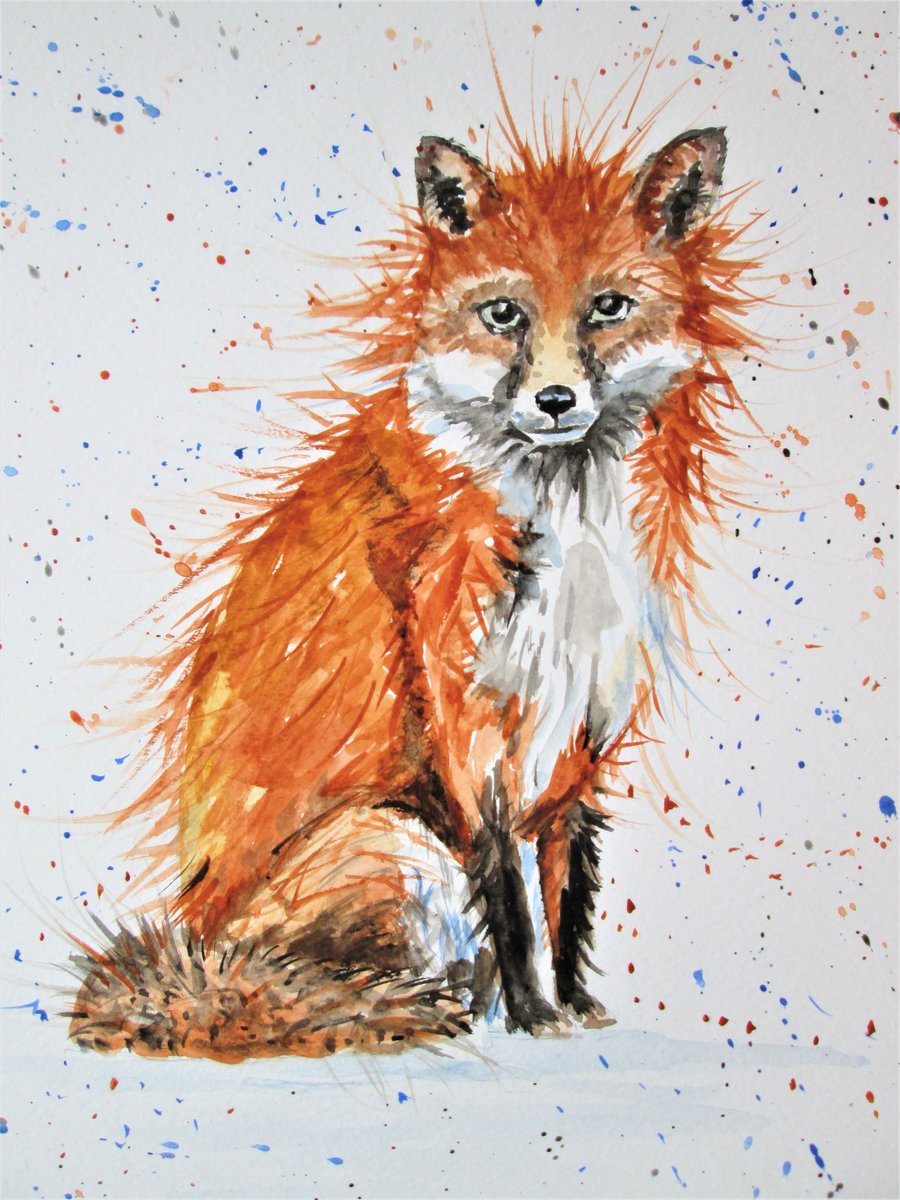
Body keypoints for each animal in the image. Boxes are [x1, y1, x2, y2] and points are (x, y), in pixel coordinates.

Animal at [69, 113, 758, 1060]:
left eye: (608, 308)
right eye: (504, 314)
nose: (554, 400)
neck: (569, 539)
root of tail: (198, 945)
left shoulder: (580, 741)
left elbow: (567, 895)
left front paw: (576, 1005)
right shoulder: (468, 730)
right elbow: (511, 897)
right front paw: (536, 1016)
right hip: (399, 838)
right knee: (356, 980)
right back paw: (428, 1007)